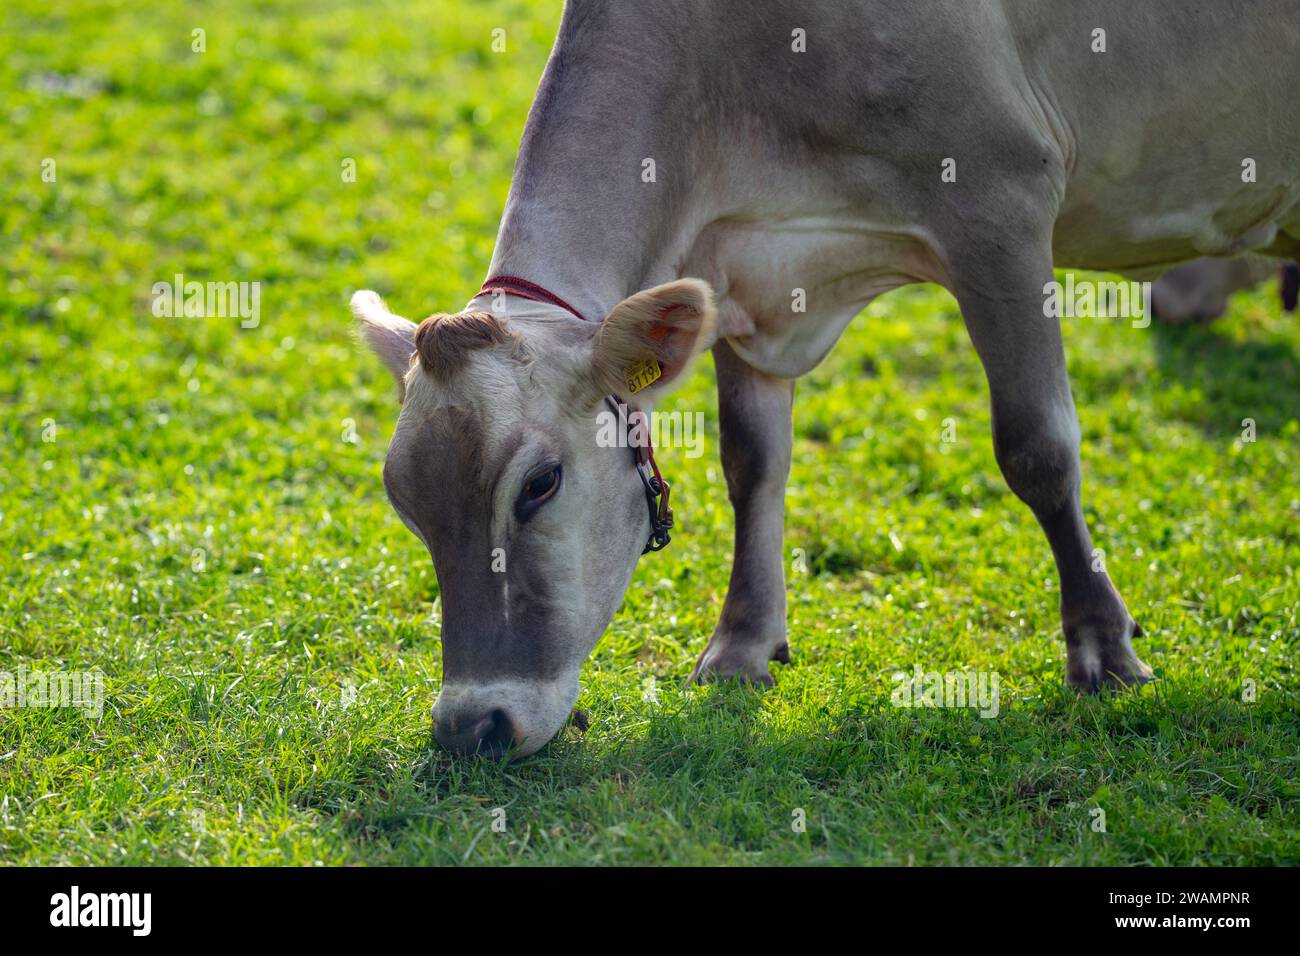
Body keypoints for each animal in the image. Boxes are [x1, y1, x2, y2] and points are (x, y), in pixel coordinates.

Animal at [351, 0, 1300, 757]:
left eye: (540, 484)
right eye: (403, 501)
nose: (472, 726)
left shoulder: (1000, 200)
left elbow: (1038, 449)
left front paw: (1103, 647)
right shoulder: (737, 267)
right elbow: (751, 460)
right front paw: (742, 644)